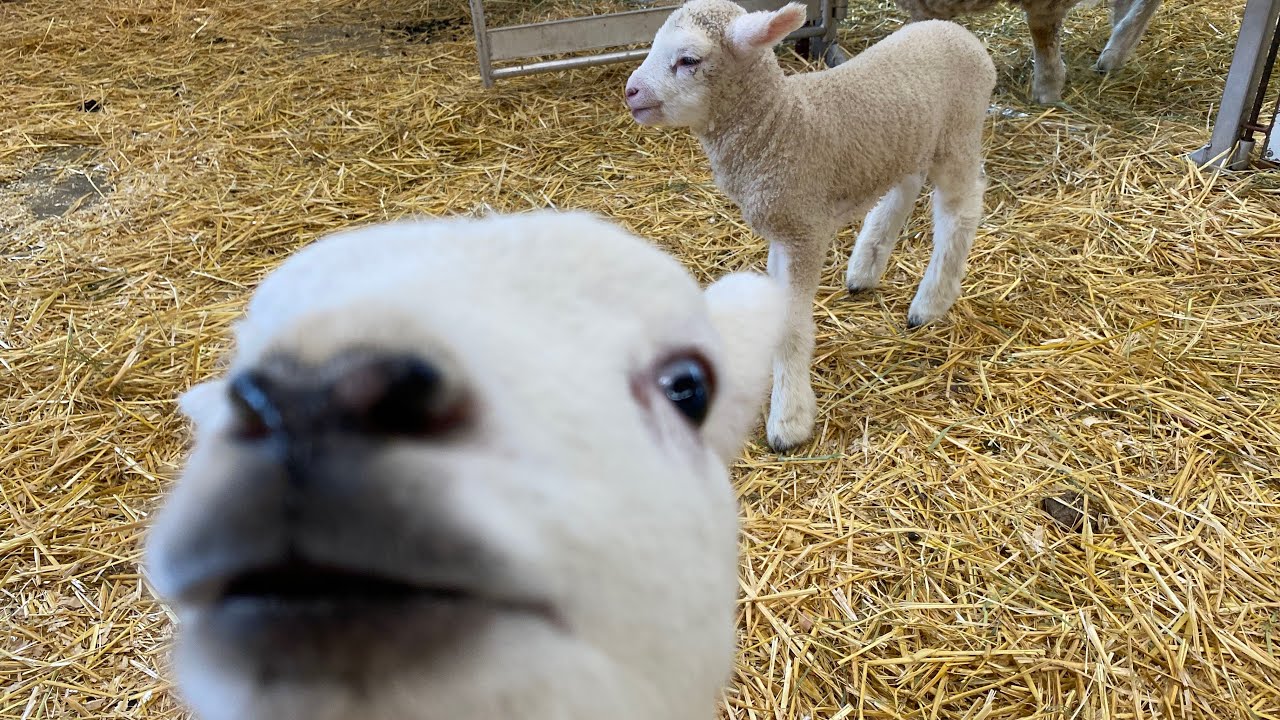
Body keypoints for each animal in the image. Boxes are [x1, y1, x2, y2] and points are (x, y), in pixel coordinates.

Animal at [624, 0, 995, 452]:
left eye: (688, 60)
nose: (631, 92)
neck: (780, 126)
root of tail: (960, 33)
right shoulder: (782, 232)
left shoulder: (804, 231)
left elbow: (792, 329)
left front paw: (789, 418)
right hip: (908, 141)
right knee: (904, 188)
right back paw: (865, 267)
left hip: (958, 136)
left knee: (960, 211)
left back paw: (930, 302)